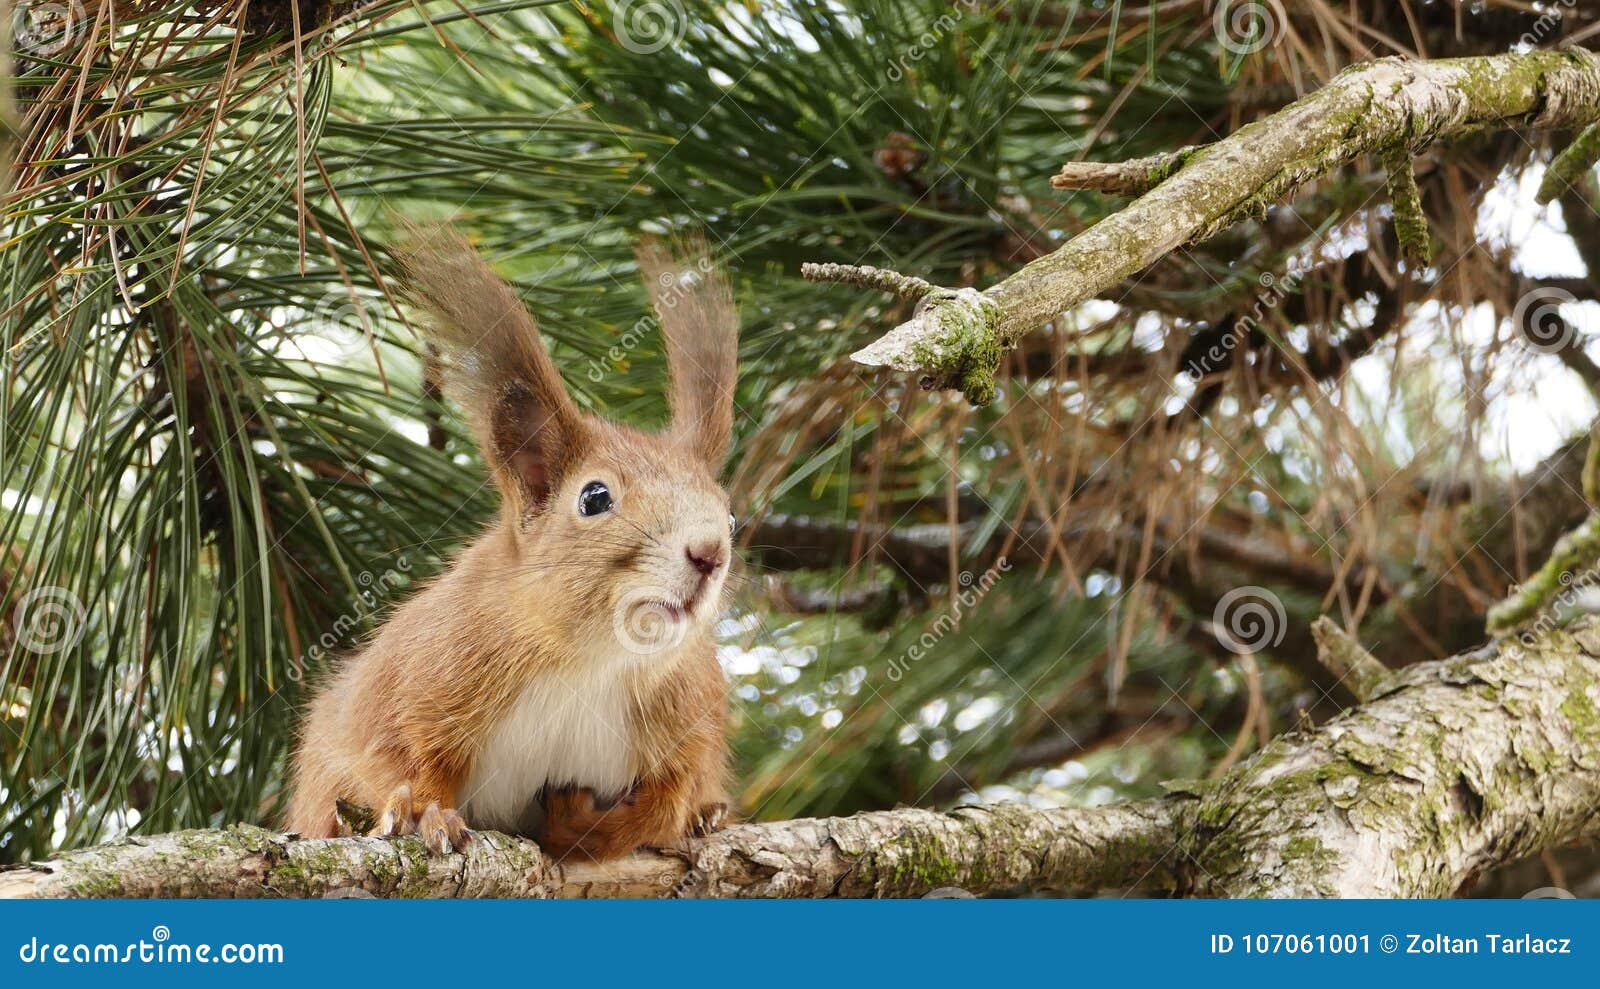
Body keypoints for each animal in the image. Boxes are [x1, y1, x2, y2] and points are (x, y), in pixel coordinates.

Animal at [285, 229, 739, 862]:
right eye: (595, 497)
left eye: (730, 513)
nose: (709, 553)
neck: (593, 663)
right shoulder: (416, 674)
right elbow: (391, 751)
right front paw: (423, 810)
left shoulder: (691, 722)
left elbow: (663, 806)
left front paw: (590, 822)